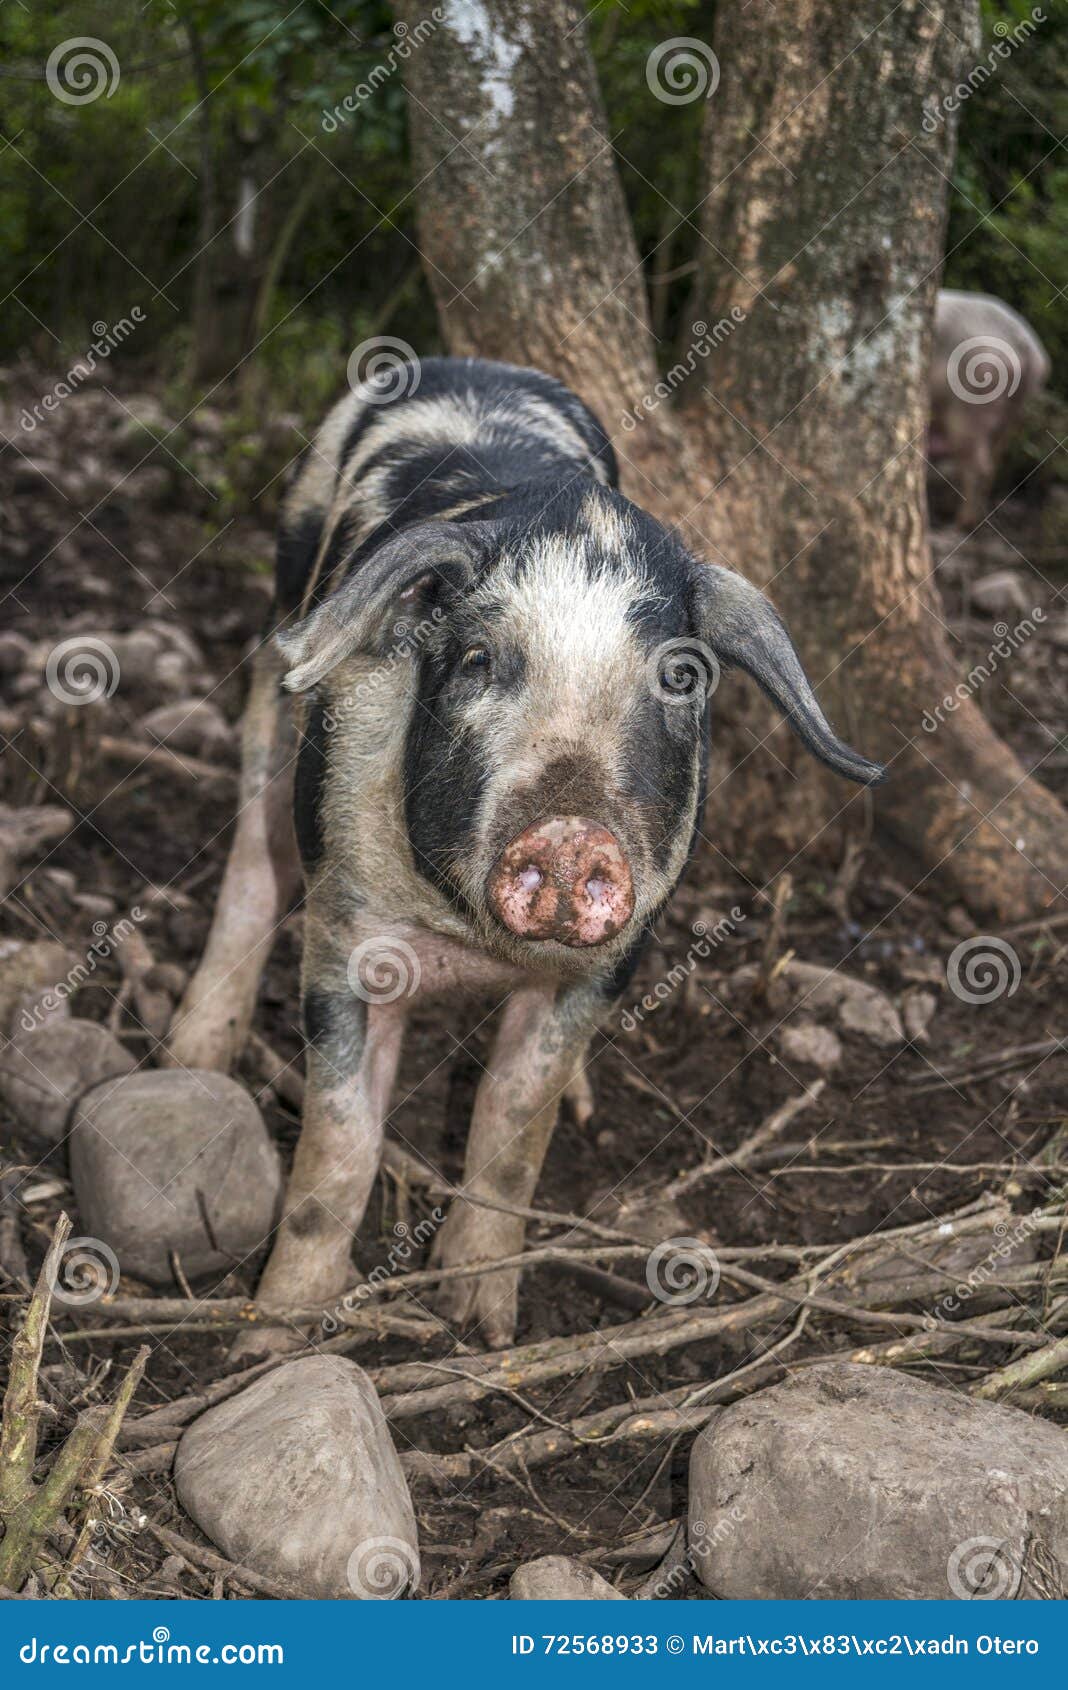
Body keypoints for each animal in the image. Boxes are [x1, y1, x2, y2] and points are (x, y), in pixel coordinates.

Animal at [166, 356, 883, 1355]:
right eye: (475, 659)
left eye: (682, 676)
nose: (572, 829)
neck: (475, 947)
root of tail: (479, 364)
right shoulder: (344, 936)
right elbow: (337, 1150)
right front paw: (275, 1338)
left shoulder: (610, 960)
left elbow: (514, 1131)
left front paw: (483, 1325)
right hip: (282, 644)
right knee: (251, 860)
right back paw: (188, 1054)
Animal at [929, 290, 1050, 527]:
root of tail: (1027, 348)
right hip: (1014, 412)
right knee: (993, 461)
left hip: (973, 397)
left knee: (977, 465)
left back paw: (962, 522)